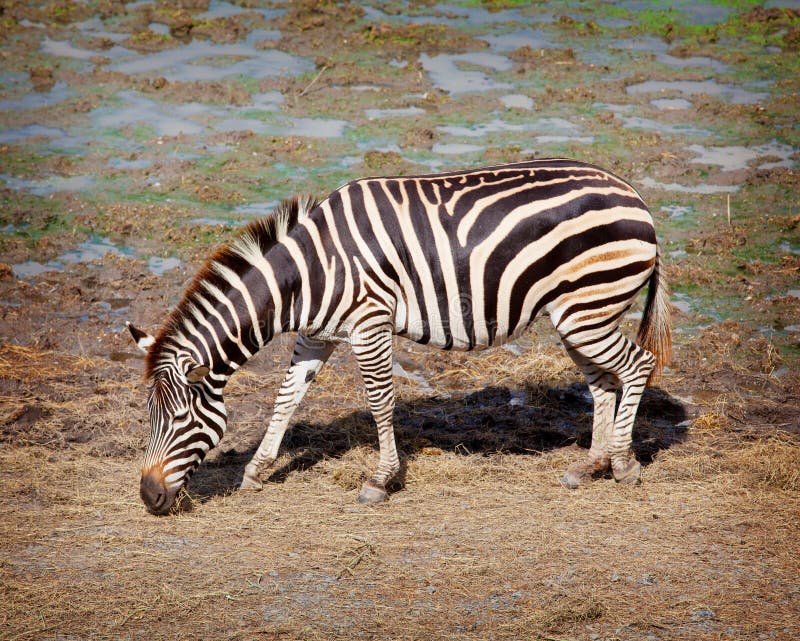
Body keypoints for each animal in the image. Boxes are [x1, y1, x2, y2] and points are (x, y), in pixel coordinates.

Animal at [128, 158, 671, 515]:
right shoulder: (317, 335)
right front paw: (256, 472)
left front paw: (380, 480)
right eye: (149, 417)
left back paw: (623, 464)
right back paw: (589, 466)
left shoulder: (370, 323)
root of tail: (635, 195)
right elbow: (286, 399)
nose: (149, 498)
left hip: (588, 307)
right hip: (576, 314)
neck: (307, 274)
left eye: (178, 419)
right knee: (602, 383)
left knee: (638, 366)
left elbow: (380, 402)